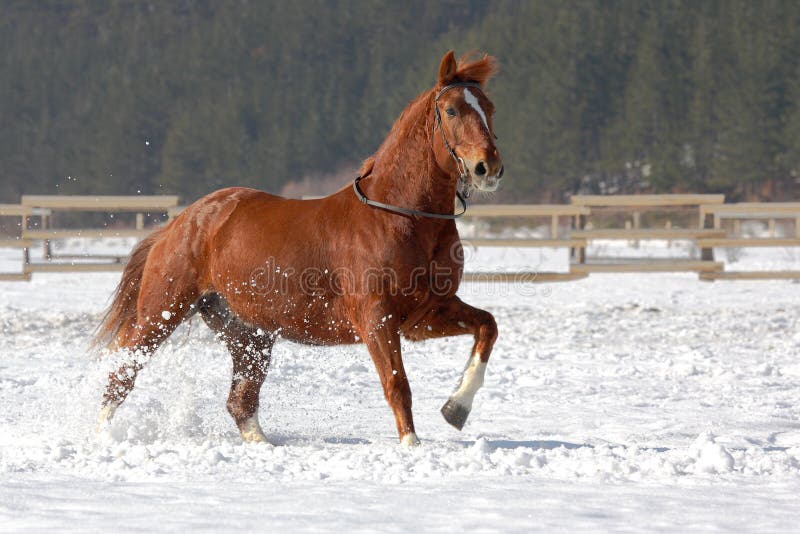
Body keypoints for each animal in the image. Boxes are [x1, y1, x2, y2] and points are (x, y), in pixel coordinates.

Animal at [95, 51, 504, 446]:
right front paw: (412, 445)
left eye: (489, 107)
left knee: (240, 400)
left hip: (248, 333)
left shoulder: (424, 314)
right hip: (161, 313)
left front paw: (456, 409)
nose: (488, 168)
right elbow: (397, 384)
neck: (401, 217)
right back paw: (101, 435)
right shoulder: (377, 319)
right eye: (451, 110)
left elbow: (488, 326)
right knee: (122, 375)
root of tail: (182, 223)